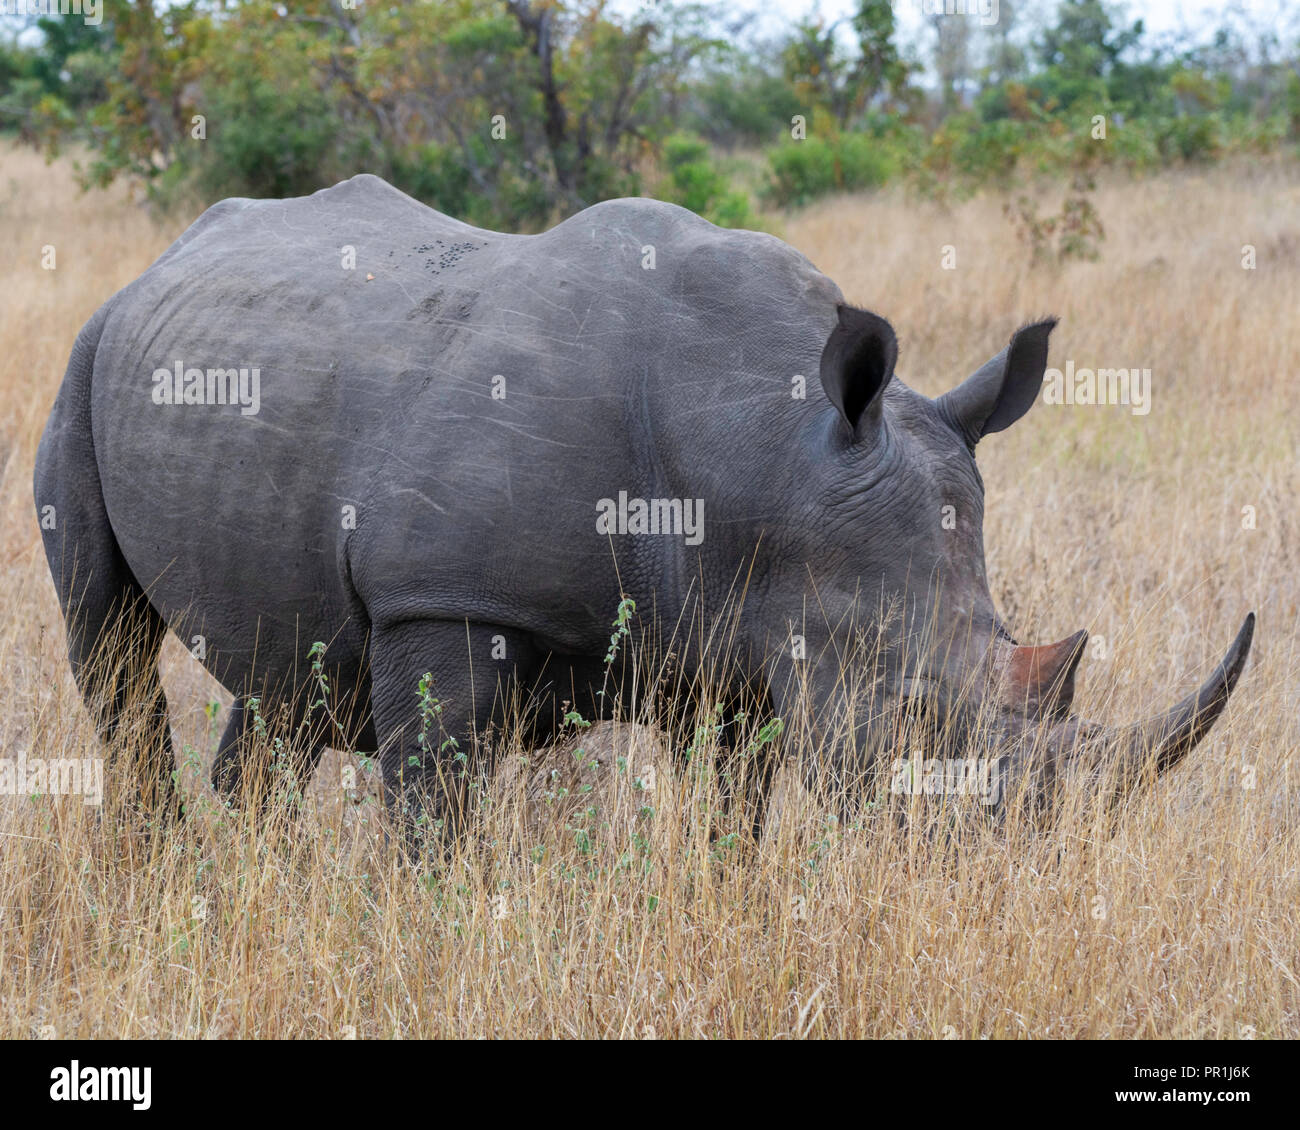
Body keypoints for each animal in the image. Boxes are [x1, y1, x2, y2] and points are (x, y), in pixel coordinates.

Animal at [34, 174, 1252, 832]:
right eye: (911, 713)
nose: (1010, 861)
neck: (772, 451)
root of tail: (158, 263)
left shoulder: (741, 640)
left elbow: (734, 817)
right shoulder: (444, 595)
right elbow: (437, 813)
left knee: (293, 679)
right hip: (84, 361)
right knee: (109, 642)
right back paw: (163, 874)